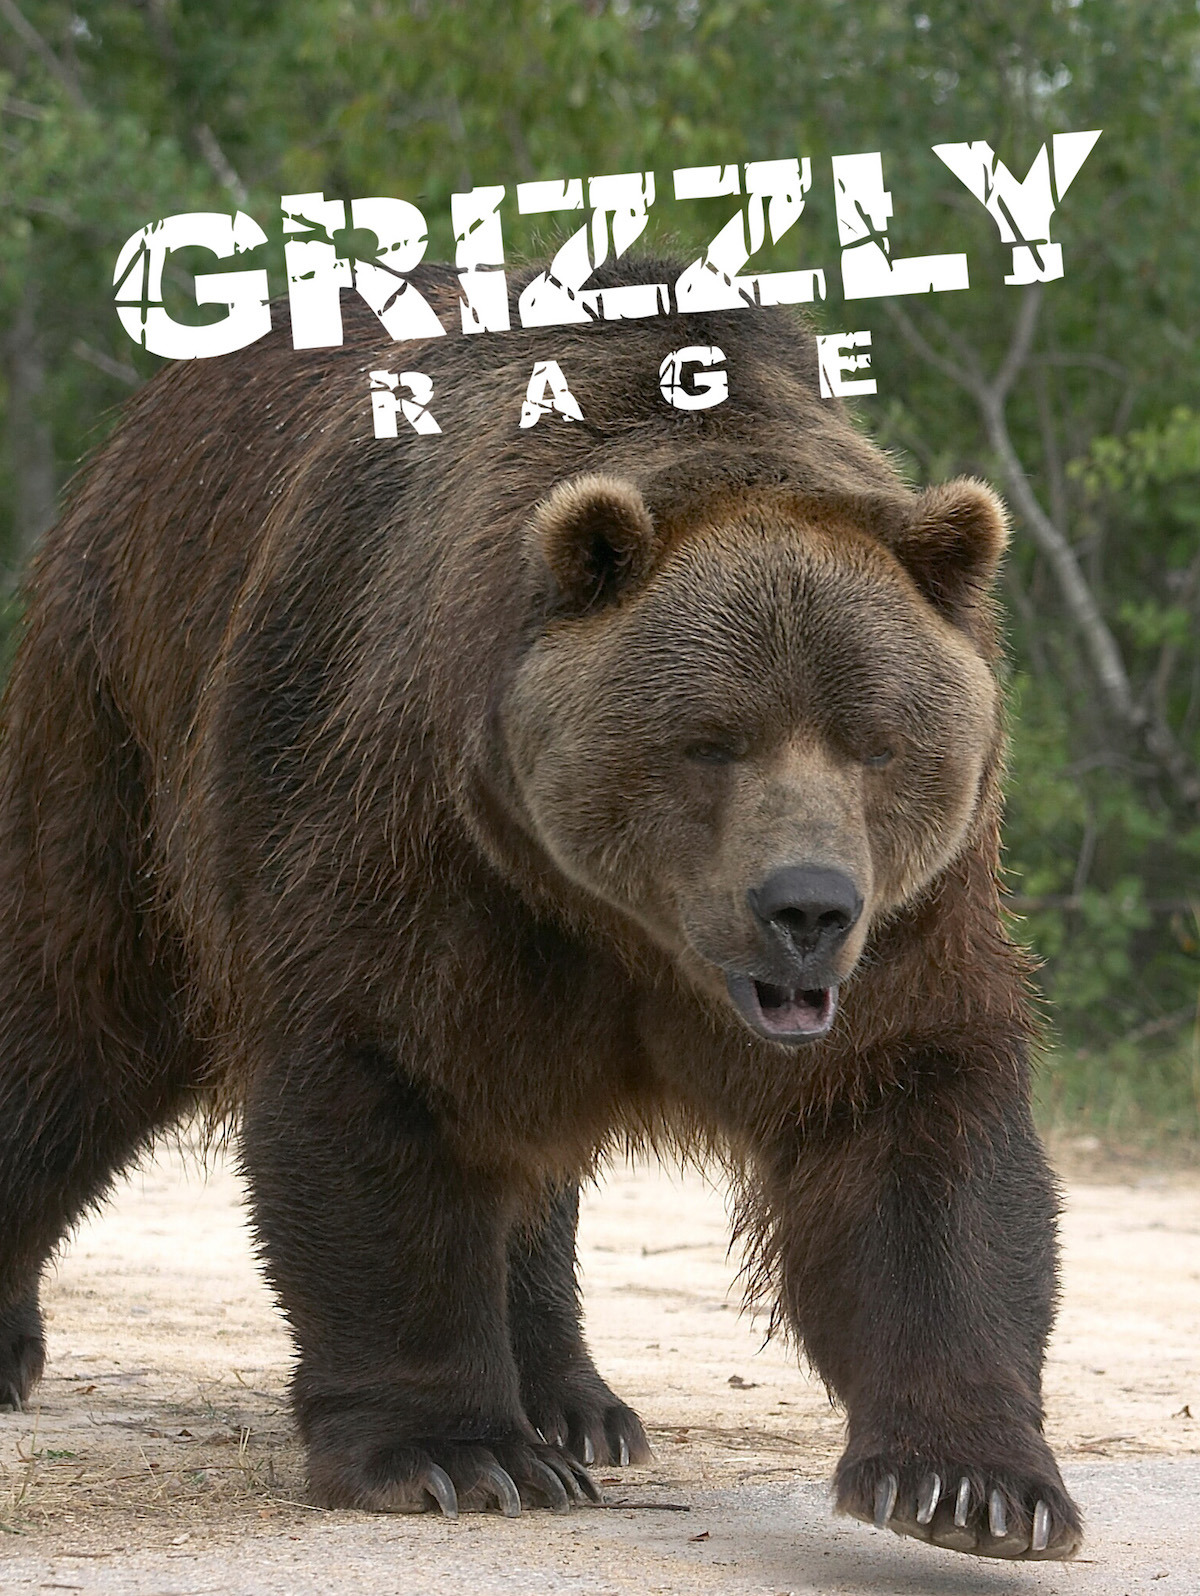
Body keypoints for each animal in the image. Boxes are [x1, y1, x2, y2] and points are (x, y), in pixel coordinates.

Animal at [0, 256, 1081, 1559]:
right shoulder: (411, 822)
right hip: (124, 719)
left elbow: (912, 1123)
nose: (807, 908)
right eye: (711, 740)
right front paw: (454, 1450)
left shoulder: (907, 920)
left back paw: (578, 1402)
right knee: (77, 1015)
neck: (622, 929)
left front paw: (971, 1485)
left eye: (876, 741)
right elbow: (387, 1080)